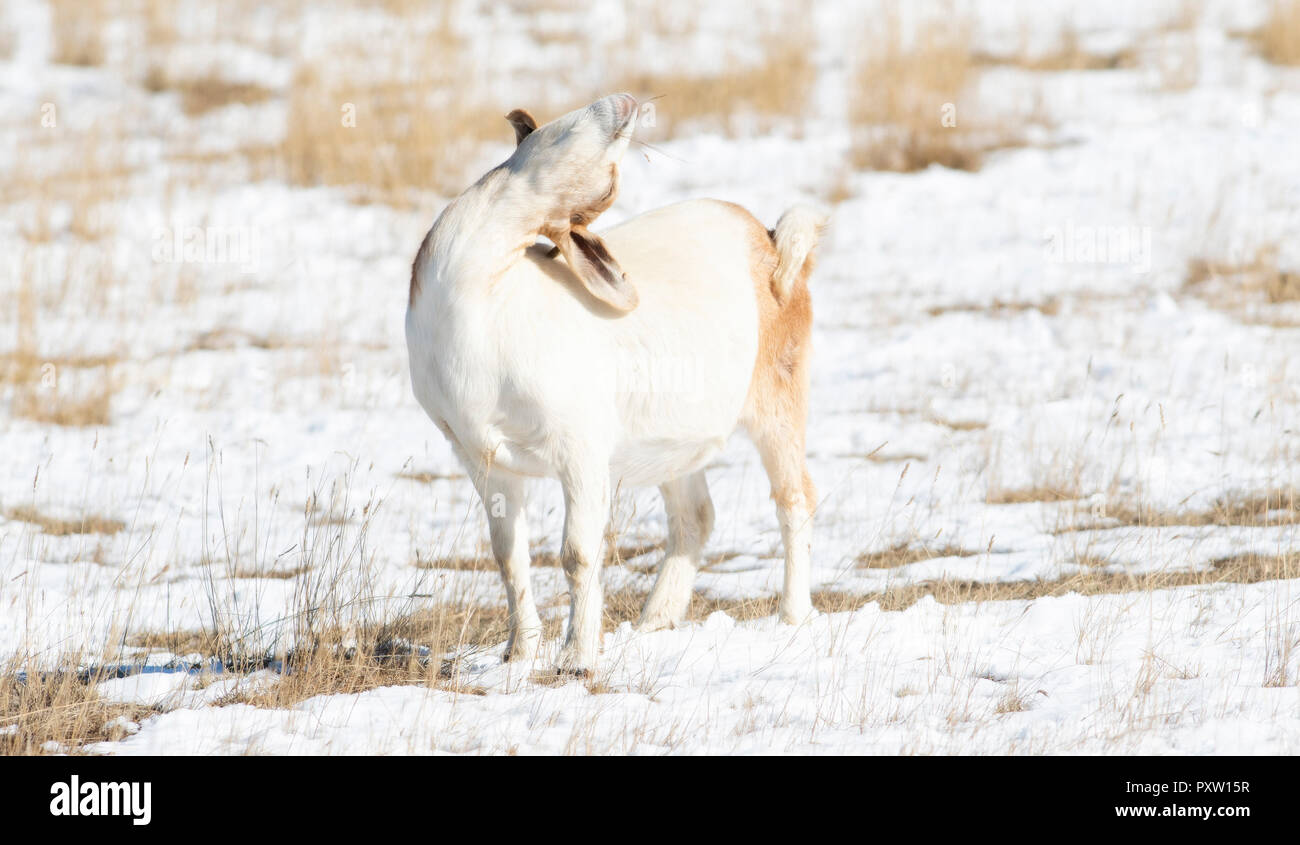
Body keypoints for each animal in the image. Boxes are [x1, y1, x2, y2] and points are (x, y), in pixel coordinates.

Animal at [405, 93, 823, 674]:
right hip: (675, 449)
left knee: (794, 499)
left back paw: (792, 616)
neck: (483, 301)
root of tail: (773, 246)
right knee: (694, 517)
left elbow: (577, 554)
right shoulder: (484, 463)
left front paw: (576, 657)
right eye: (606, 186)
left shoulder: (580, 455)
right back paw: (655, 621)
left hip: (777, 412)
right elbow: (508, 557)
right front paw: (517, 654)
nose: (626, 104)